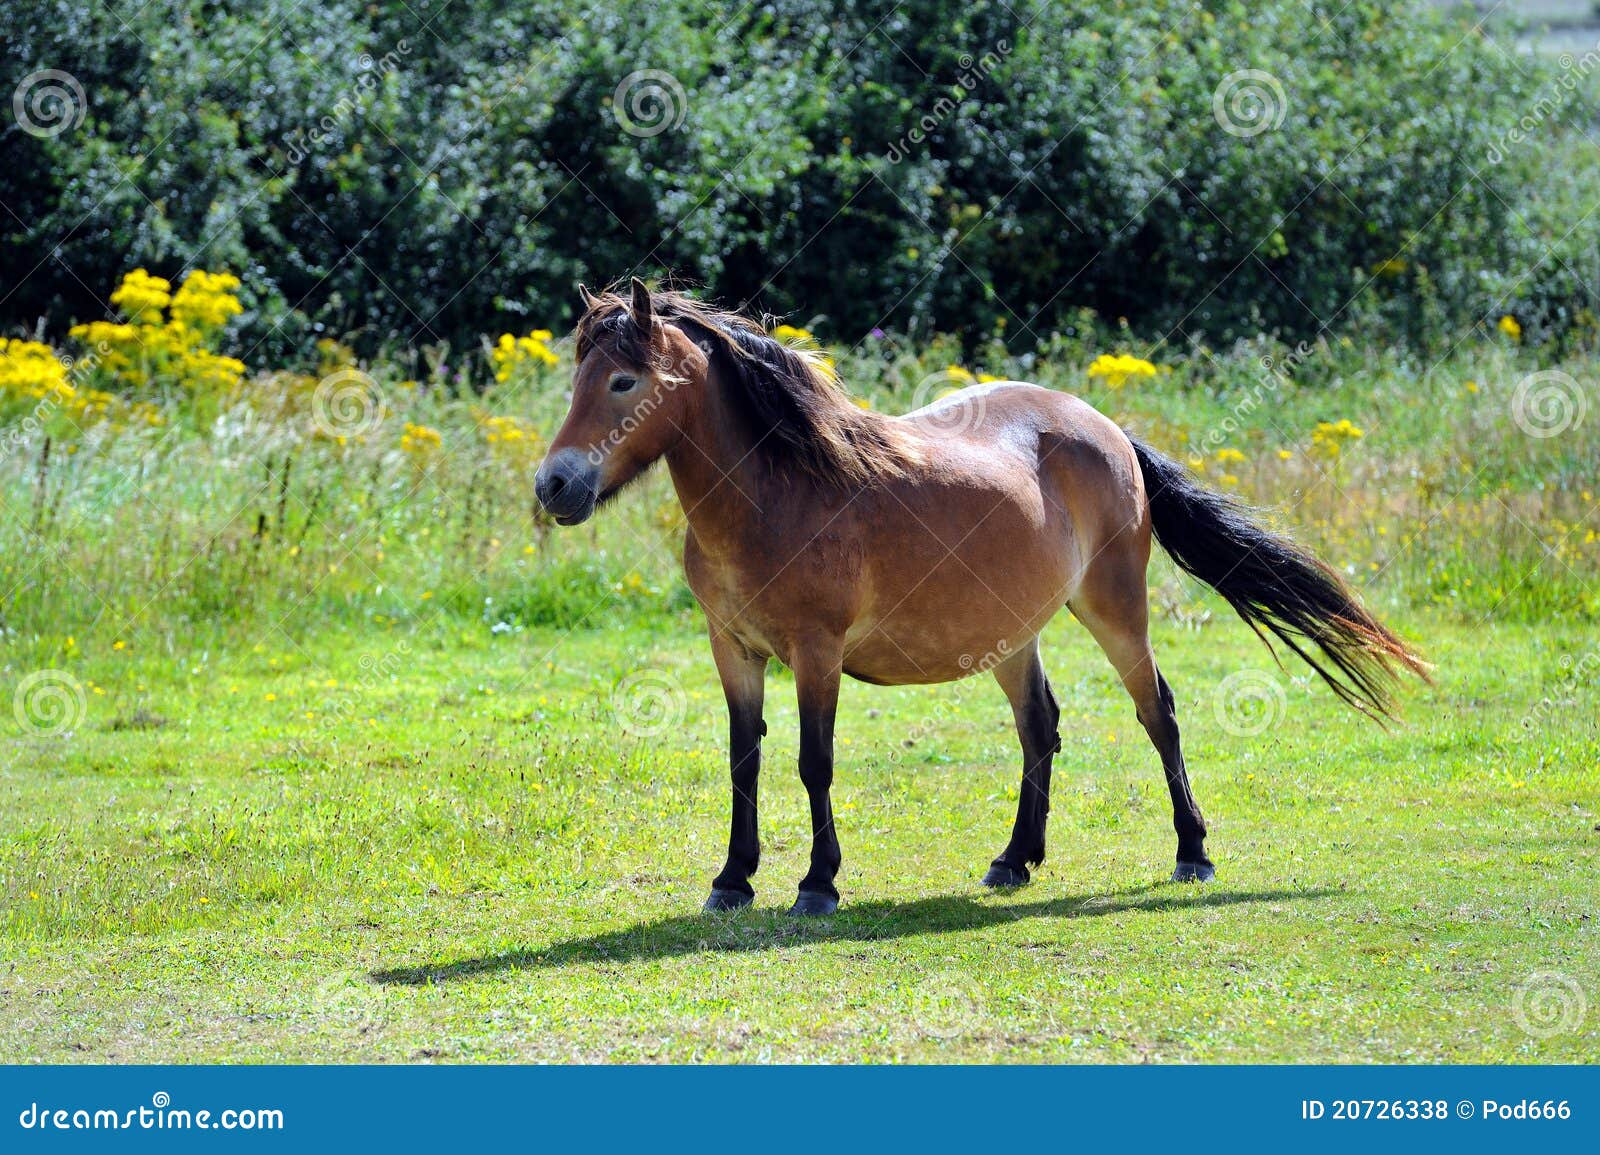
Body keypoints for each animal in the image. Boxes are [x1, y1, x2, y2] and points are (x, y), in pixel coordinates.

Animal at [535, 279, 1429, 916]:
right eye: (578, 377)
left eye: (624, 381)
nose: (555, 485)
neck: (778, 489)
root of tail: (1106, 429)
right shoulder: (733, 650)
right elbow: (742, 758)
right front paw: (733, 878)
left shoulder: (816, 653)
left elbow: (813, 762)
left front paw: (818, 883)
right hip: (1011, 635)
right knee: (1040, 726)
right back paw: (1014, 858)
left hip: (1115, 611)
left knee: (1159, 714)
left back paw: (1192, 851)